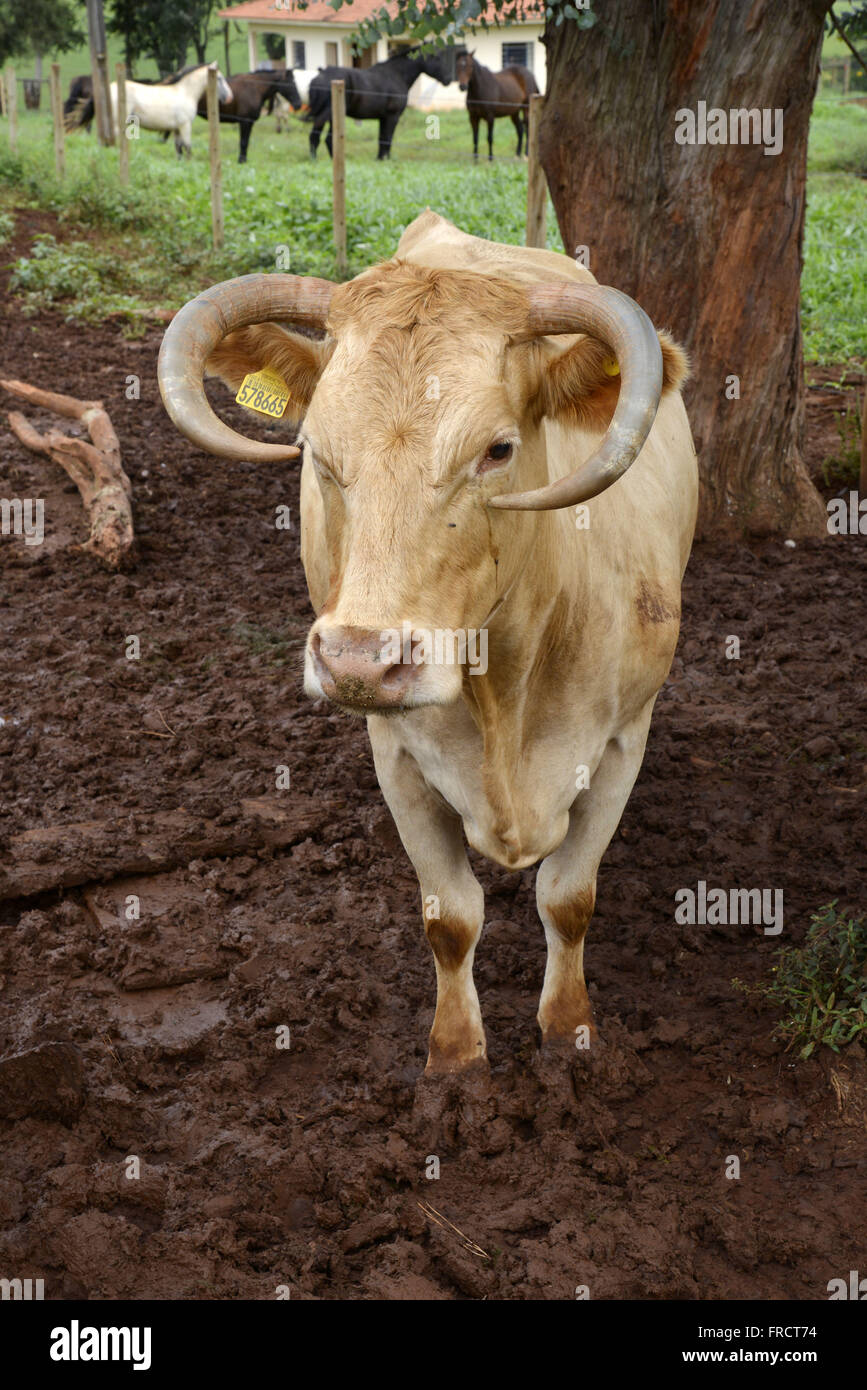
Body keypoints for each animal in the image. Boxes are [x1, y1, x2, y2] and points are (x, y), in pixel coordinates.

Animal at [158, 211, 698, 1075]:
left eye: (497, 449)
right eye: (315, 450)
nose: (357, 660)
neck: (506, 684)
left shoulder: (621, 743)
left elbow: (568, 898)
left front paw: (568, 1032)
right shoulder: (398, 758)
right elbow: (451, 918)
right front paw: (453, 1061)